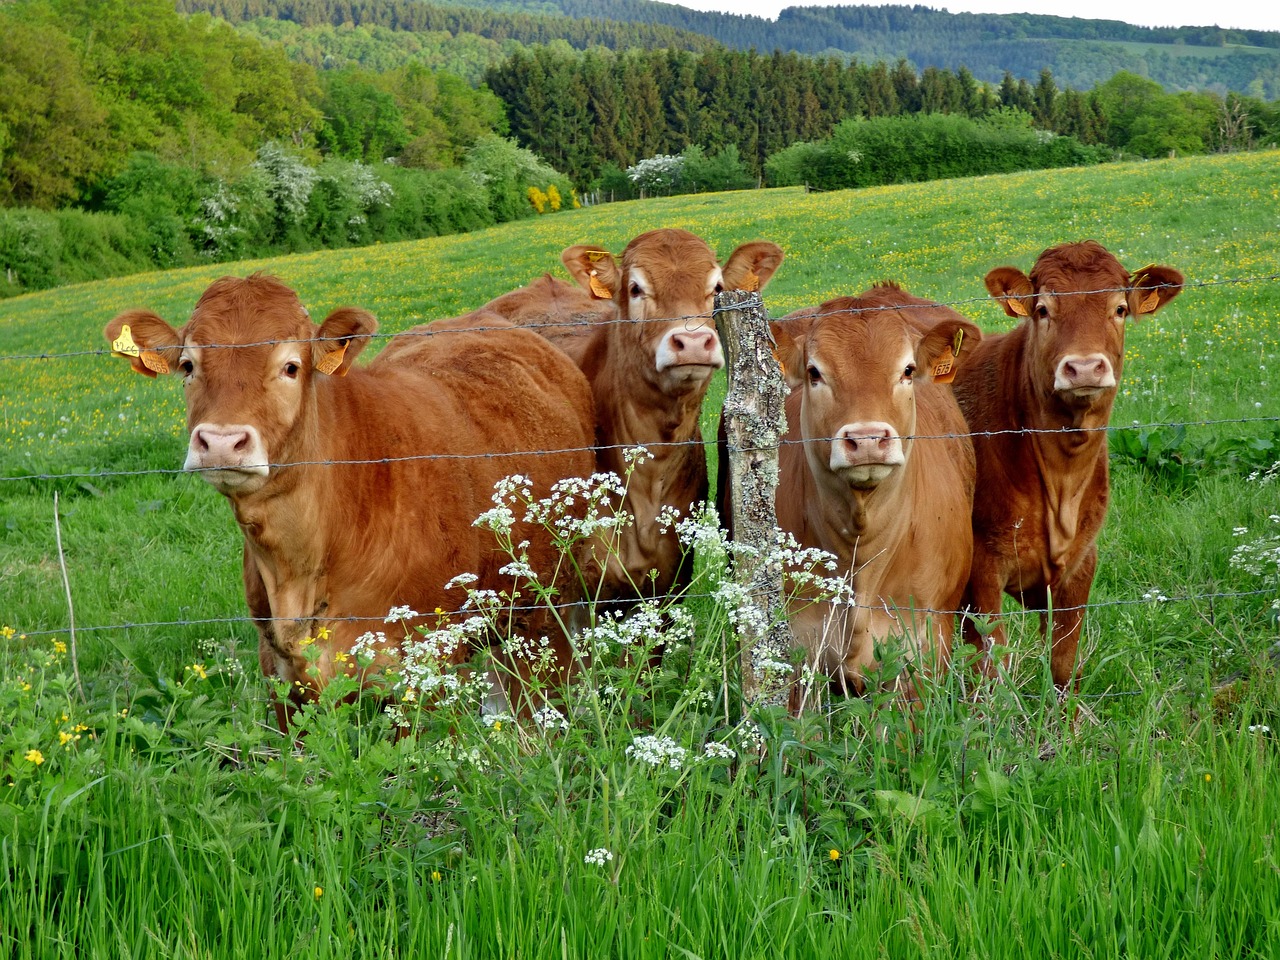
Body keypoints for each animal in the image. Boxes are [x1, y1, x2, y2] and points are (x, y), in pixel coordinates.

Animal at [104, 275, 596, 729]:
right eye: (188, 366)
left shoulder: (426, 671)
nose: (222, 442)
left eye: (291, 367)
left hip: (549, 600)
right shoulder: (279, 680)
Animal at [950, 240, 1184, 689]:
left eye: (1119, 309)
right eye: (1043, 310)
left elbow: (1062, 663)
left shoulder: (1081, 563)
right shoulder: (981, 571)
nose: (1085, 367)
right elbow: (992, 667)